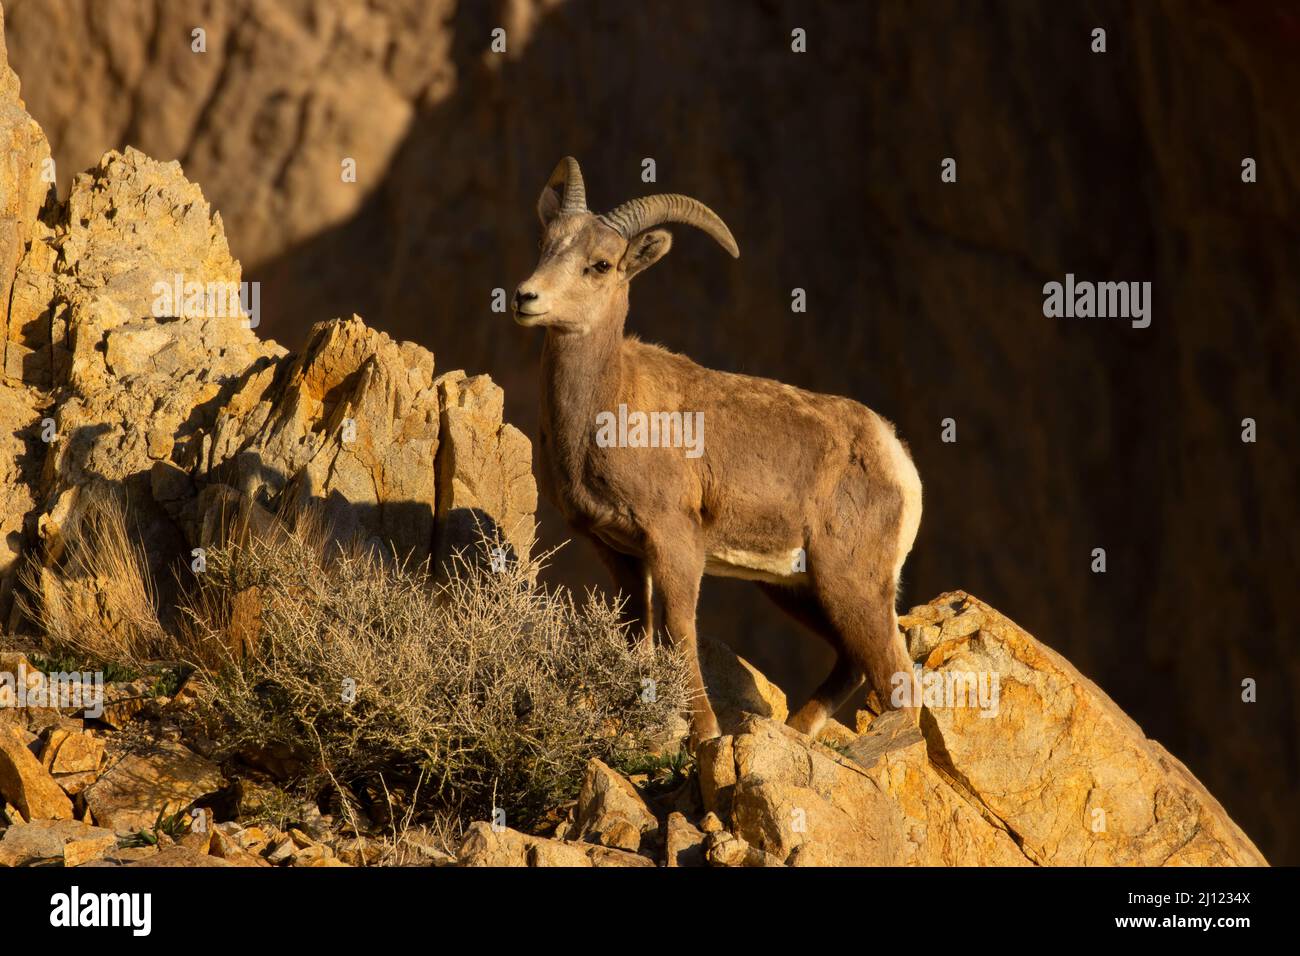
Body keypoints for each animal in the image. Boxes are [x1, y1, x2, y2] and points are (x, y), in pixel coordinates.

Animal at [513, 157, 923, 748]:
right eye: (546, 245)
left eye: (600, 264)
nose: (526, 298)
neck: (608, 408)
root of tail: (896, 456)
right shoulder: (620, 553)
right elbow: (638, 634)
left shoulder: (675, 542)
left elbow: (680, 631)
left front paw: (703, 734)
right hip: (798, 589)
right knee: (852, 662)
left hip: (852, 584)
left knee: (895, 676)